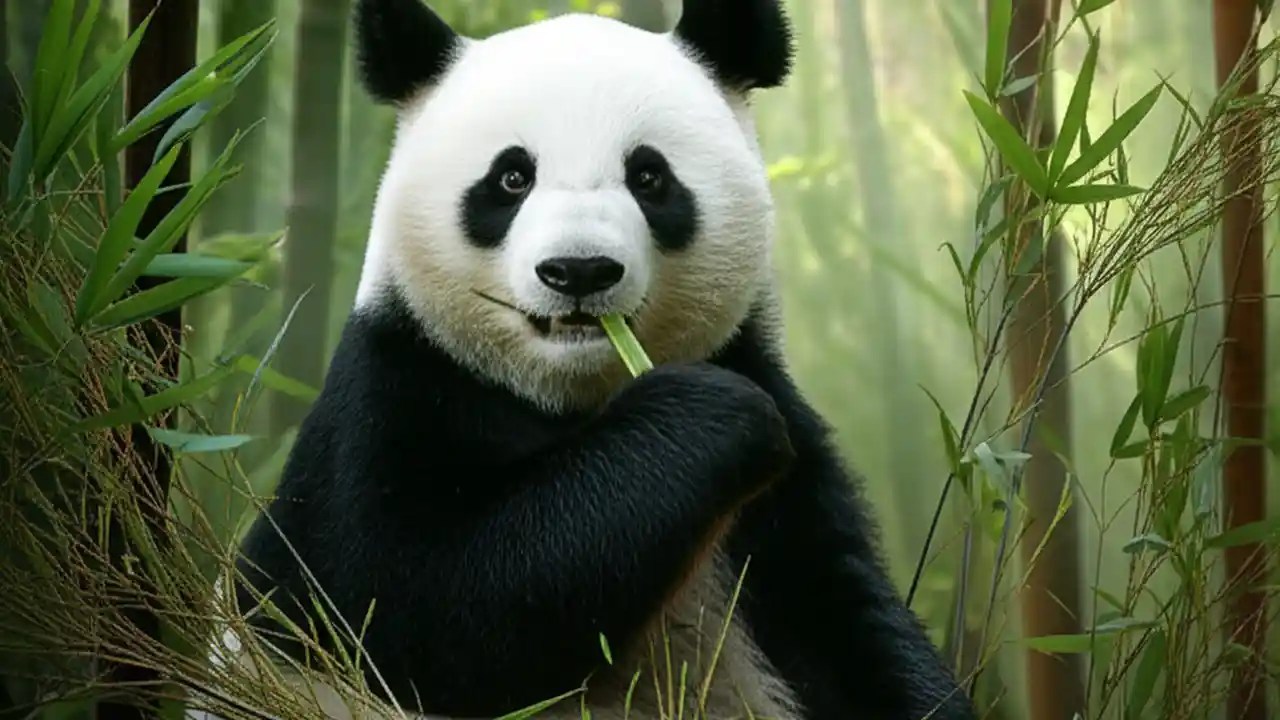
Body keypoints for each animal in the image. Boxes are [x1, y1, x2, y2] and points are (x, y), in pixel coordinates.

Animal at [216, 1, 978, 719]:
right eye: (511, 177)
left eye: (649, 176)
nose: (578, 270)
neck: (572, 400)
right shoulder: (391, 395)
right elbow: (418, 608)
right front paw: (706, 417)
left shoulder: (780, 452)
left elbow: (846, 621)